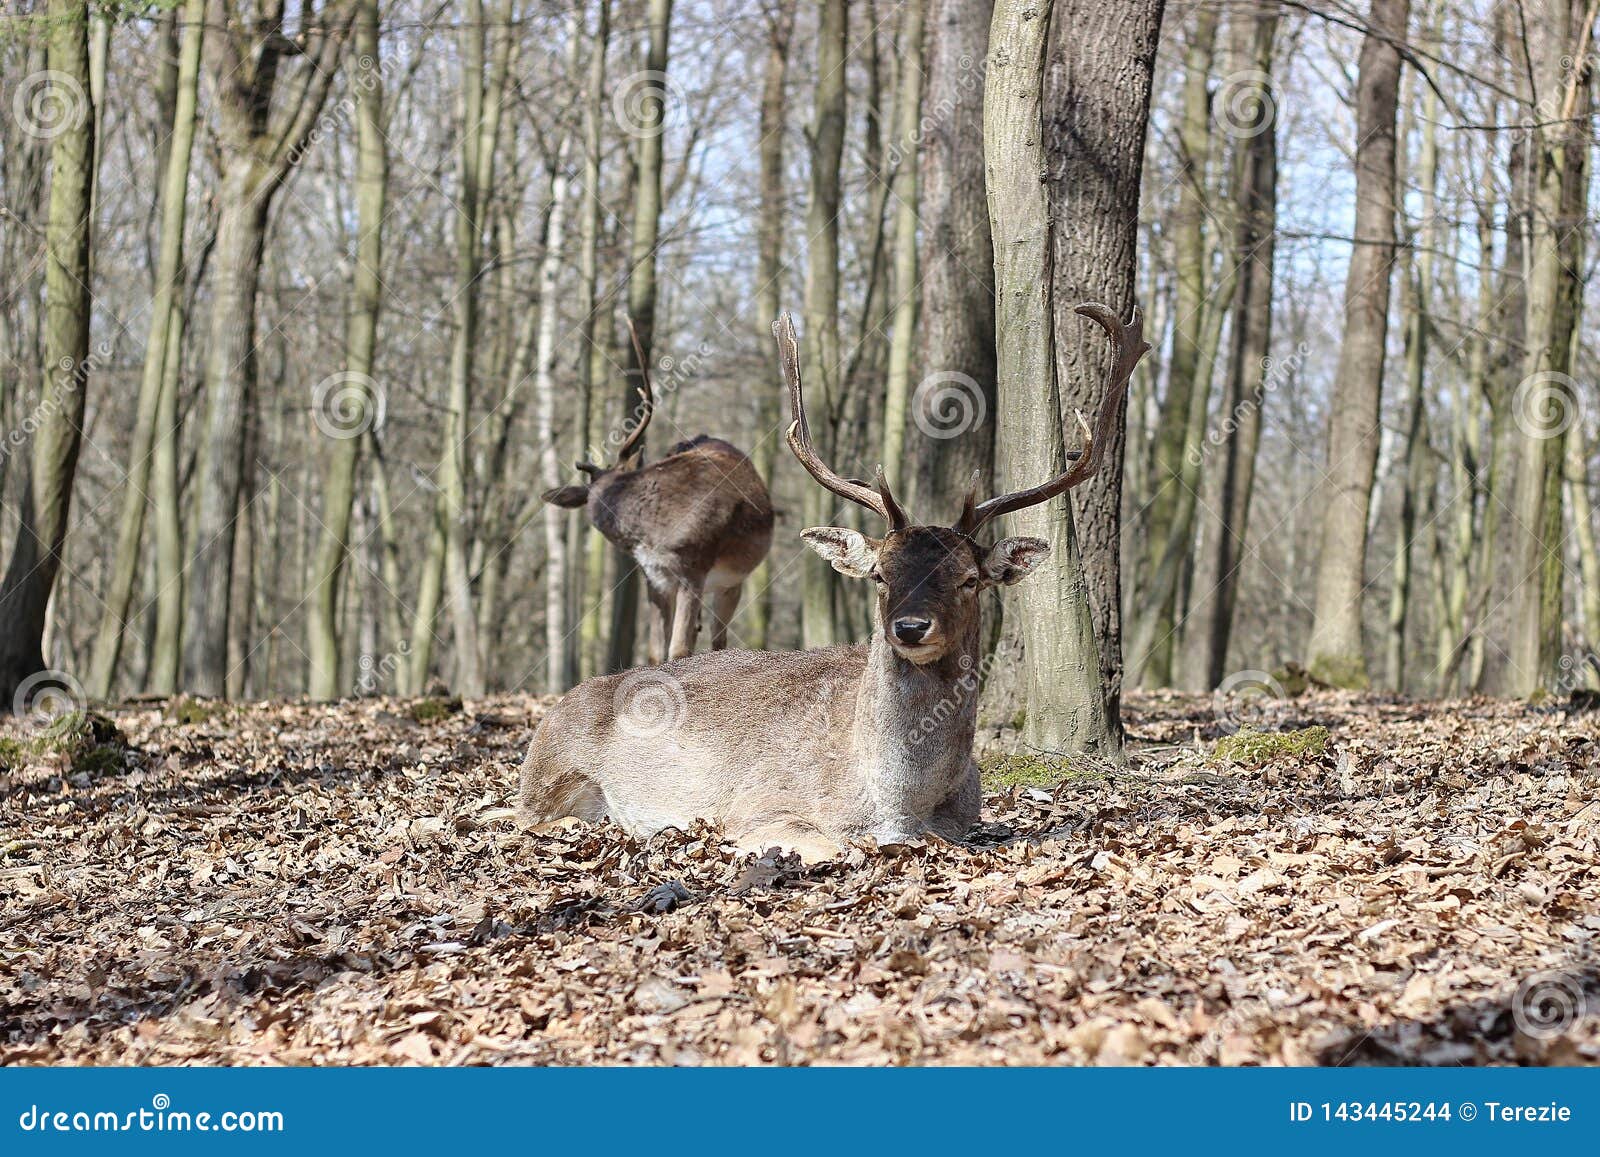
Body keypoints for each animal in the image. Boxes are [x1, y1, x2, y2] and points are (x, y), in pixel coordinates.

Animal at [541, 328, 774, 663]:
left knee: (718, 639)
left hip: (732, 580)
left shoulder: (695, 565)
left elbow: (678, 650)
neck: (654, 534)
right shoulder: (654, 576)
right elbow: (654, 653)